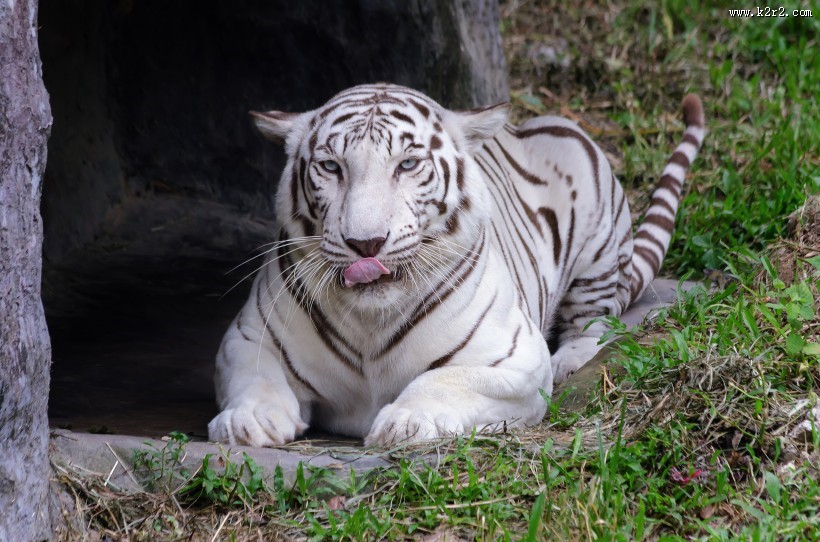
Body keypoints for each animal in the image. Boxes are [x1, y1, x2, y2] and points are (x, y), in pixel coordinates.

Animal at [207, 83, 705, 447]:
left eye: (407, 164)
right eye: (331, 167)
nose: (365, 243)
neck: (369, 321)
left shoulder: (513, 358)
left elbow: (446, 379)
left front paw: (405, 421)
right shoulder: (247, 336)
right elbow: (256, 376)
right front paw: (247, 420)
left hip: (594, 237)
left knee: (596, 321)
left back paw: (571, 359)